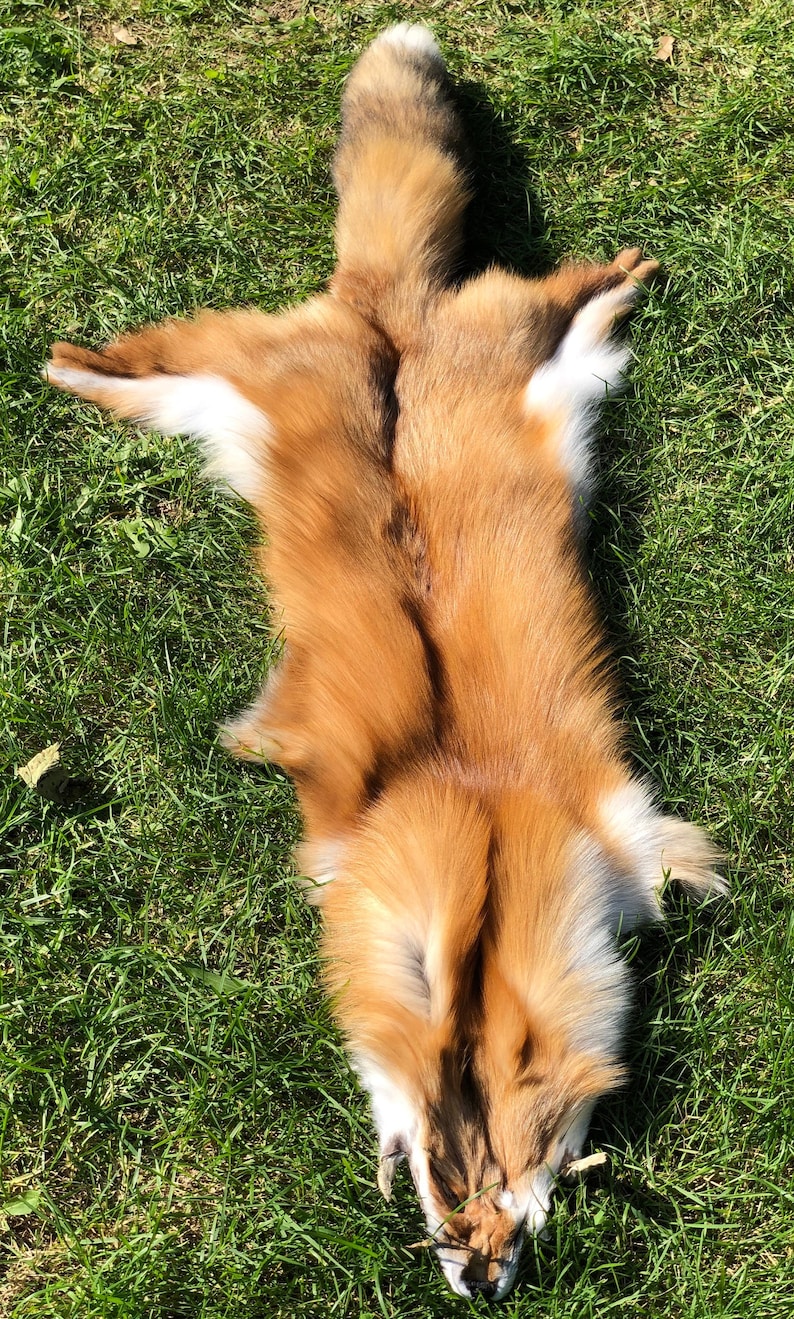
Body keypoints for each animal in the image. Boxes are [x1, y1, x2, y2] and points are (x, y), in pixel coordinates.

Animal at [46, 23, 724, 1301]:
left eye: (529, 1168)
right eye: (467, 1177)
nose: (484, 1281)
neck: (483, 806)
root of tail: (387, 319)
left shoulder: (606, 821)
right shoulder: (575, 823)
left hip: (491, 358)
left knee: (554, 290)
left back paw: (618, 270)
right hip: (259, 374)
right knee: (159, 351)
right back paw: (71, 363)